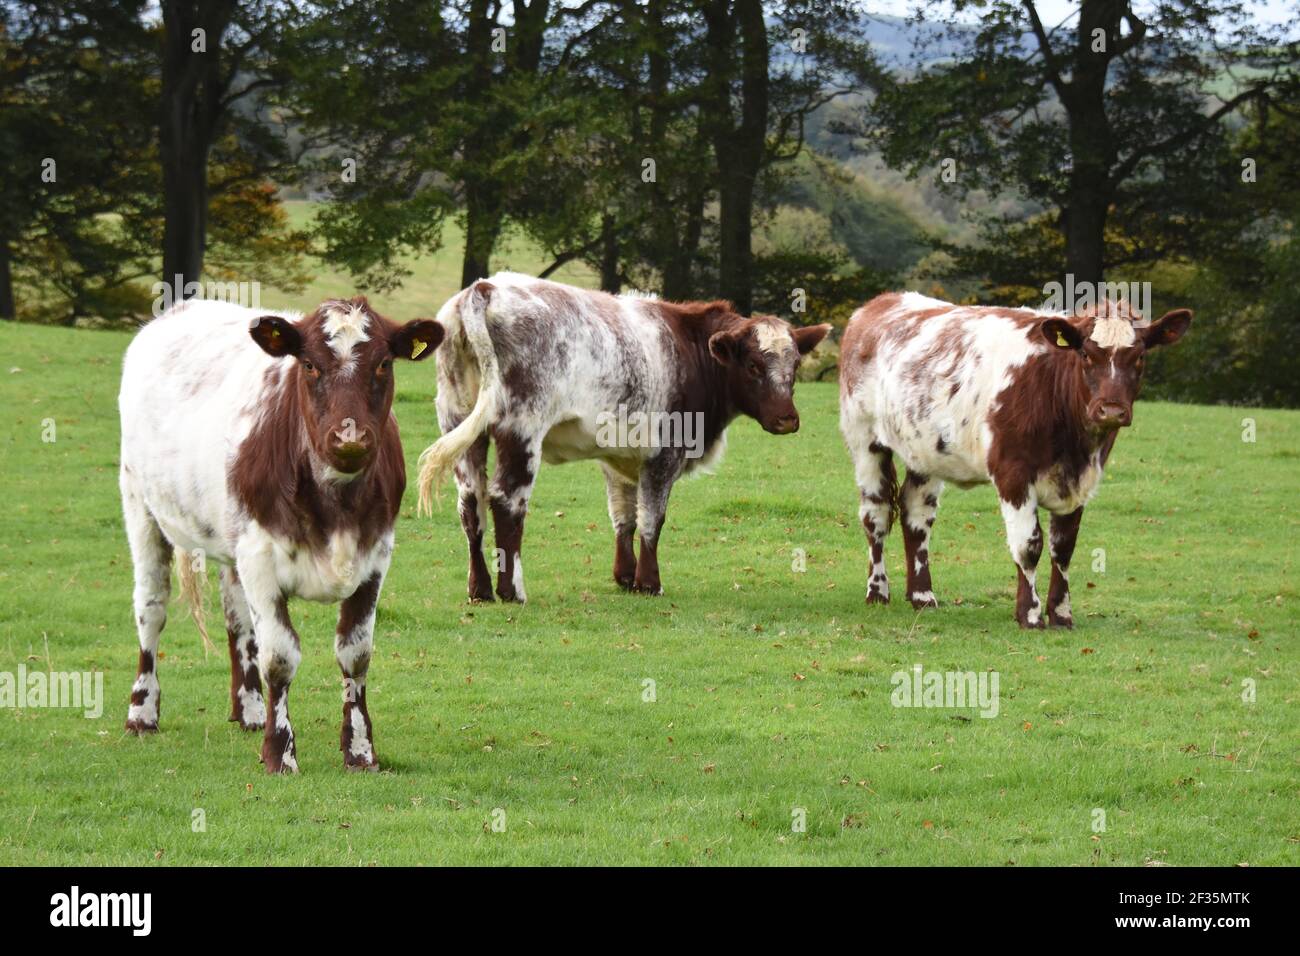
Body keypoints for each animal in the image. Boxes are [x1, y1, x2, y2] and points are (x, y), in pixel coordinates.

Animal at [118, 296, 441, 772]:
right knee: (151, 607)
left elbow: (355, 654)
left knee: (236, 619)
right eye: (308, 364)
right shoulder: (260, 557)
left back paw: (250, 710)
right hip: (141, 506)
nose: (349, 437)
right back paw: (142, 712)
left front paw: (361, 750)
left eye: (384, 363)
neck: (336, 504)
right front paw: (280, 753)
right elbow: (280, 657)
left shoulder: (375, 557)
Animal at [417, 272, 831, 602]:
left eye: (795, 364)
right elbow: (652, 519)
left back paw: (480, 589)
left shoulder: (619, 455)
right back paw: (512, 590)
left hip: (458, 422)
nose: (787, 419)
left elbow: (623, 515)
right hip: (521, 429)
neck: (689, 348)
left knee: (471, 503)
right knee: (506, 501)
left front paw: (625, 577)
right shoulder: (665, 453)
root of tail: (485, 288)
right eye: (753, 365)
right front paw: (650, 582)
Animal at [839, 293, 1191, 628]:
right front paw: (1030, 615)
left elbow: (1064, 548)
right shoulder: (1013, 474)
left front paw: (1061, 614)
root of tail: (881, 302)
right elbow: (1029, 545)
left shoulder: (1080, 479)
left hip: (924, 451)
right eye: (1086, 354)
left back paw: (922, 595)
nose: (1112, 410)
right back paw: (878, 591)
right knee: (876, 513)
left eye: (1140, 356)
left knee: (916, 515)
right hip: (864, 439)